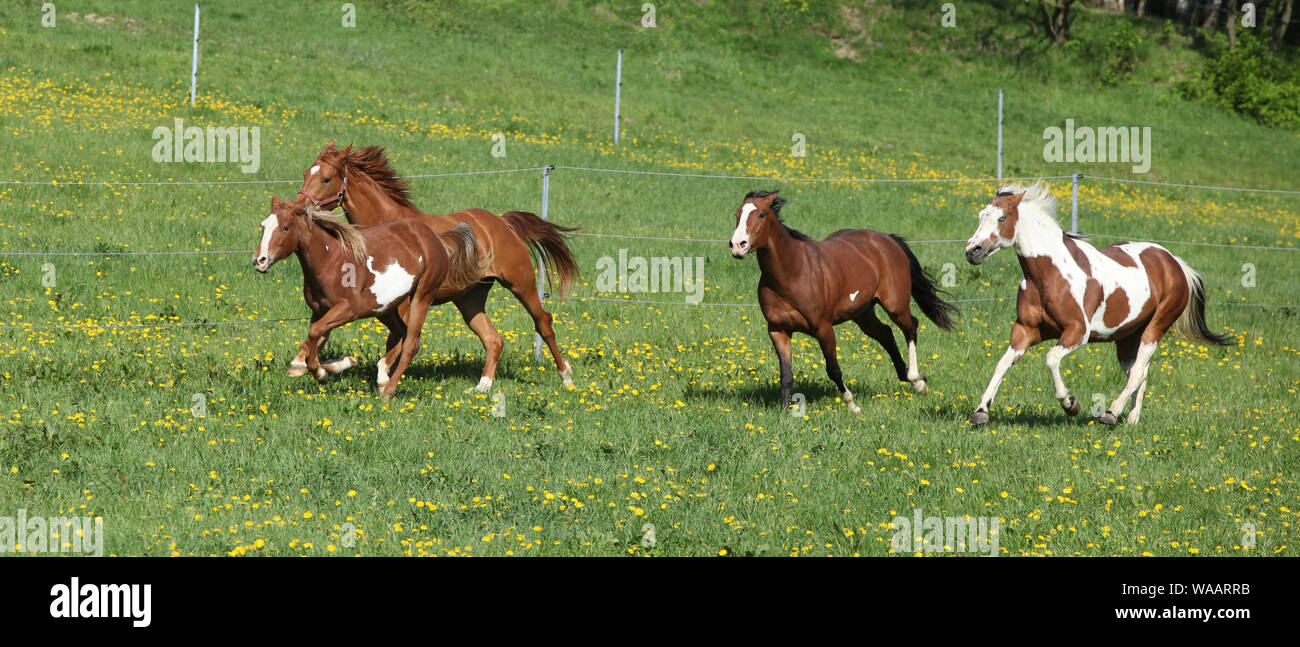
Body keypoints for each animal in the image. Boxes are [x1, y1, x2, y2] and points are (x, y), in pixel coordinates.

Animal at [253, 196, 488, 400]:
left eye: (285, 227)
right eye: (263, 226)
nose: (260, 260)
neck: (331, 260)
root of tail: (436, 237)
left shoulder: (348, 309)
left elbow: (315, 333)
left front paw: (324, 372)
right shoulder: (320, 310)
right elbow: (315, 338)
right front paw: (334, 366)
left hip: (422, 296)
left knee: (411, 344)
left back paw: (388, 390)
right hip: (384, 307)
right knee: (400, 333)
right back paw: (382, 376)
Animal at [293, 143, 580, 393]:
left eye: (326, 179)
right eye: (305, 173)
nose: (298, 208)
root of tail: (502, 222)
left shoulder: (402, 304)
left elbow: (400, 339)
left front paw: (382, 378)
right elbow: (324, 330)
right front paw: (302, 364)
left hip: (520, 283)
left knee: (543, 322)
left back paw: (566, 376)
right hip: (470, 299)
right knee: (493, 340)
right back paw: (481, 388)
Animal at [729, 190, 960, 414]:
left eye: (761, 214)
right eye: (737, 214)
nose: (737, 245)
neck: (792, 273)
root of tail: (887, 239)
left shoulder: (824, 329)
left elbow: (833, 369)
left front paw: (852, 405)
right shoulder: (778, 330)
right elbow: (786, 374)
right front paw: (786, 412)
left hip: (895, 306)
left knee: (911, 327)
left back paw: (917, 381)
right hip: (863, 313)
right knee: (886, 333)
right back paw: (908, 376)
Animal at [963, 181, 1234, 426]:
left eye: (1002, 218)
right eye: (980, 216)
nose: (972, 251)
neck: (1048, 275)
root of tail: (1175, 263)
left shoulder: (1077, 332)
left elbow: (1051, 359)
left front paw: (1071, 404)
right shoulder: (1025, 331)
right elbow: (1002, 363)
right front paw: (981, 412)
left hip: (1155, 328)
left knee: (1137, 374)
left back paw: (1110, 414)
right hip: (1127, 338)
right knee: (1140, 374)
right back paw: (1132, 419)